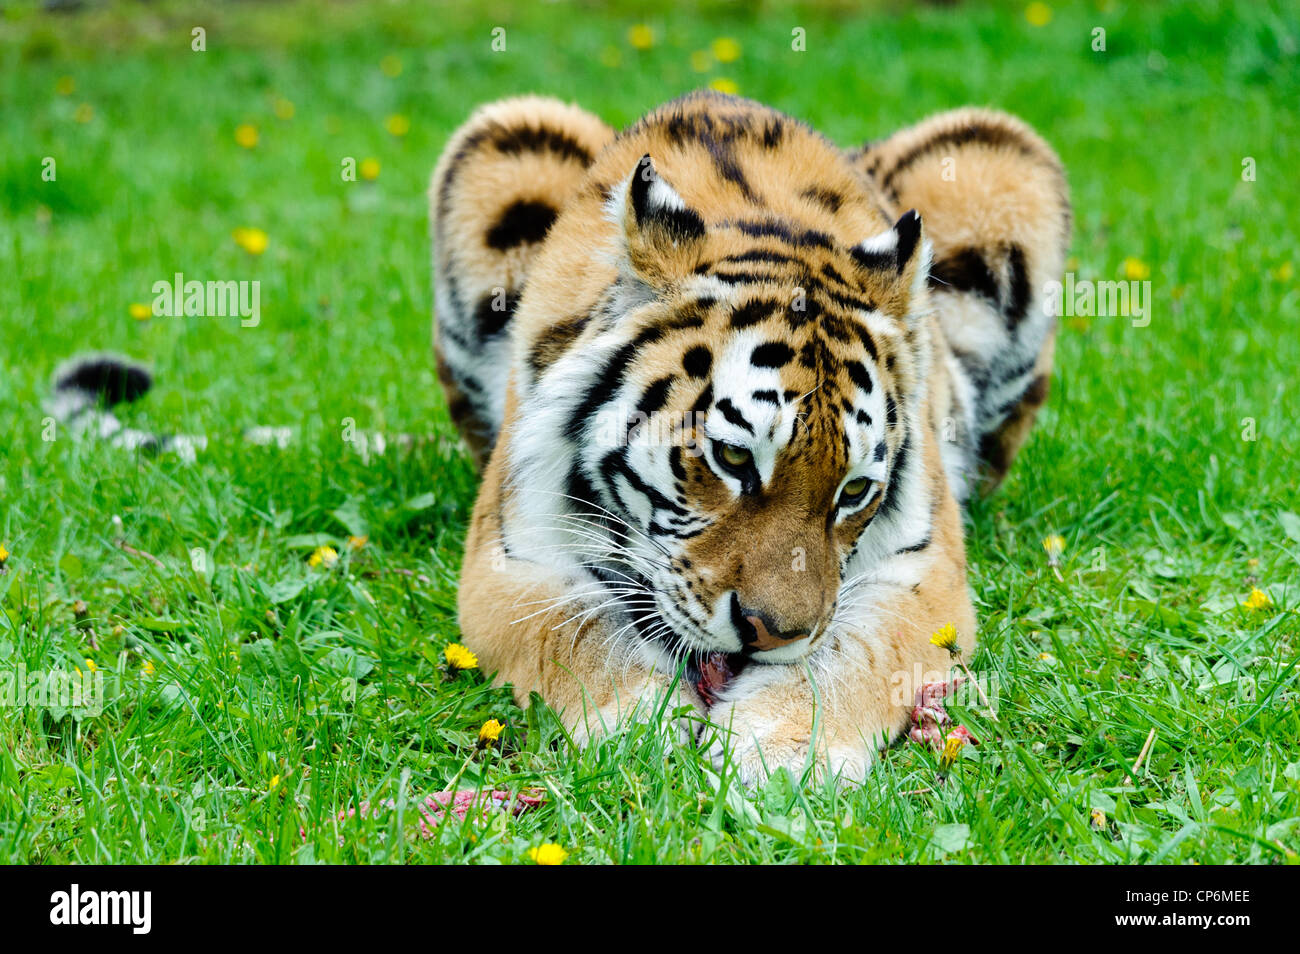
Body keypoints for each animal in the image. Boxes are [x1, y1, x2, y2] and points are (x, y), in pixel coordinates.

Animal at [430, 91, 1070, 784]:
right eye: (733, 457)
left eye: (854, 492)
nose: (772, 634)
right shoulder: (510, 560)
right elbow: (579, 633)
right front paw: (643, 727)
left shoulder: (925, 571)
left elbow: (853, 648)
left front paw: (780, 751)